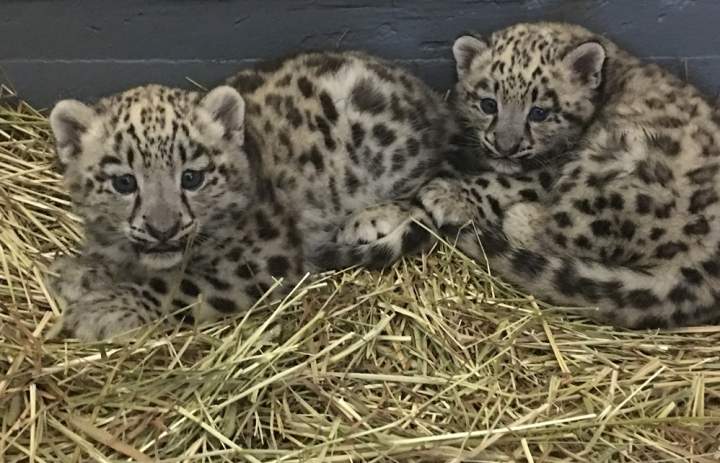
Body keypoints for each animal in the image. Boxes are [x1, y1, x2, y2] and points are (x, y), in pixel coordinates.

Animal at [46, 50, 459, 341]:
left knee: (426, 187)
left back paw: (368, 220)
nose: (163, 230)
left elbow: (179, 283)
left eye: (192, 177)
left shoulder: (261, 257)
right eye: (124, 183)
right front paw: (80, 271)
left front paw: (104, 308)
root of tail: (432, 99)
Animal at [332, 22, 720, 329]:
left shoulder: (547, 170)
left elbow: (496, 184)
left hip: (613, 163)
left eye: (540, 112)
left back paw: (520, 216)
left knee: (563, 235)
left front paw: (444, 196)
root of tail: (704, 269)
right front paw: (369, 216)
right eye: (488, 104)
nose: (506, 146)